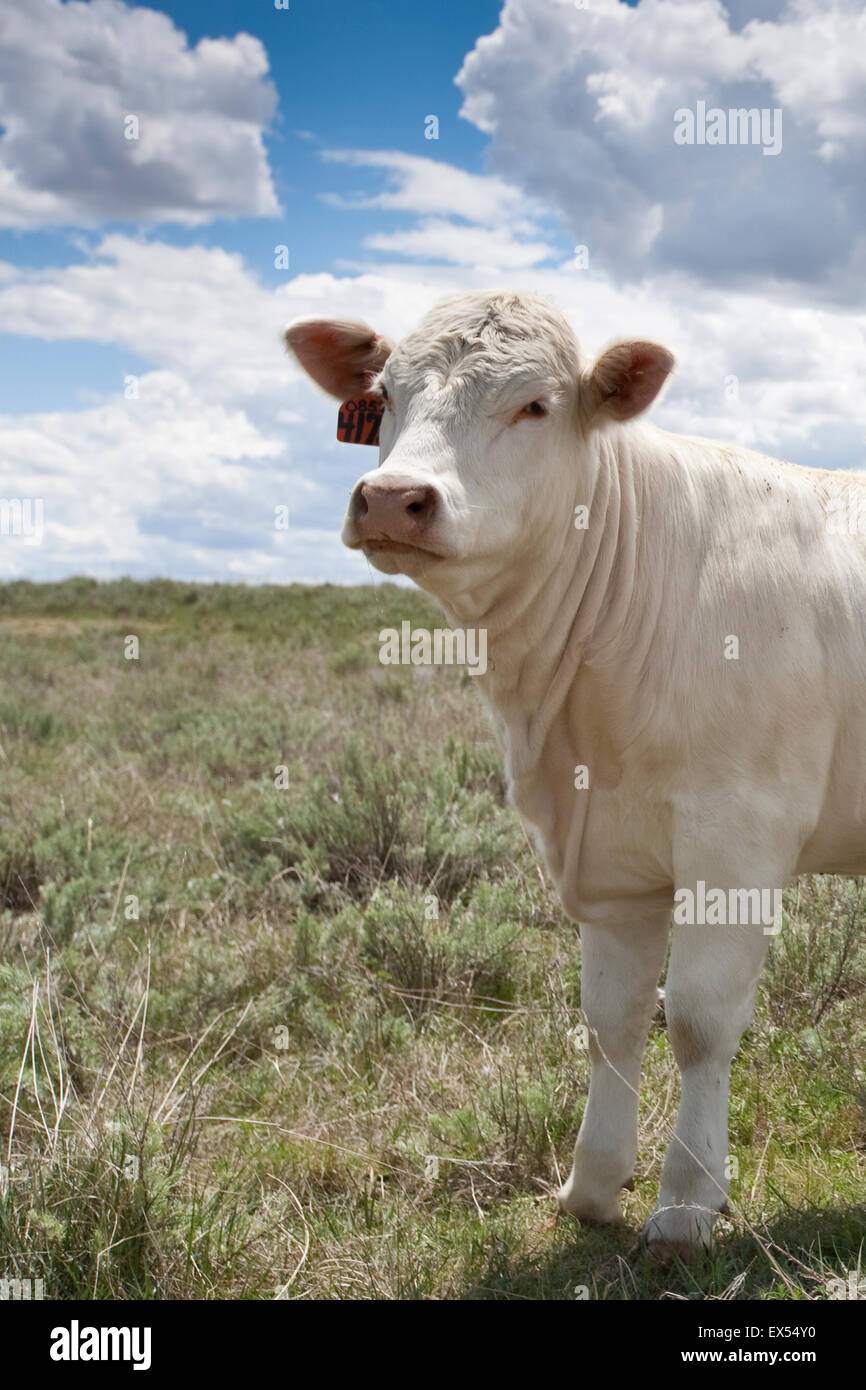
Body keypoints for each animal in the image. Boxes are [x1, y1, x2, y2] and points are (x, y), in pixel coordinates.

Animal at [285, 289, 866, 1258]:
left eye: (534, 405)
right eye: (387, 394)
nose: (393, 499)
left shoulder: (738, 837)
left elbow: (698, 1019)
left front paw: (686, 1203)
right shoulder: (610, 859)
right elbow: (612, 1019)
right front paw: (592, 1187)